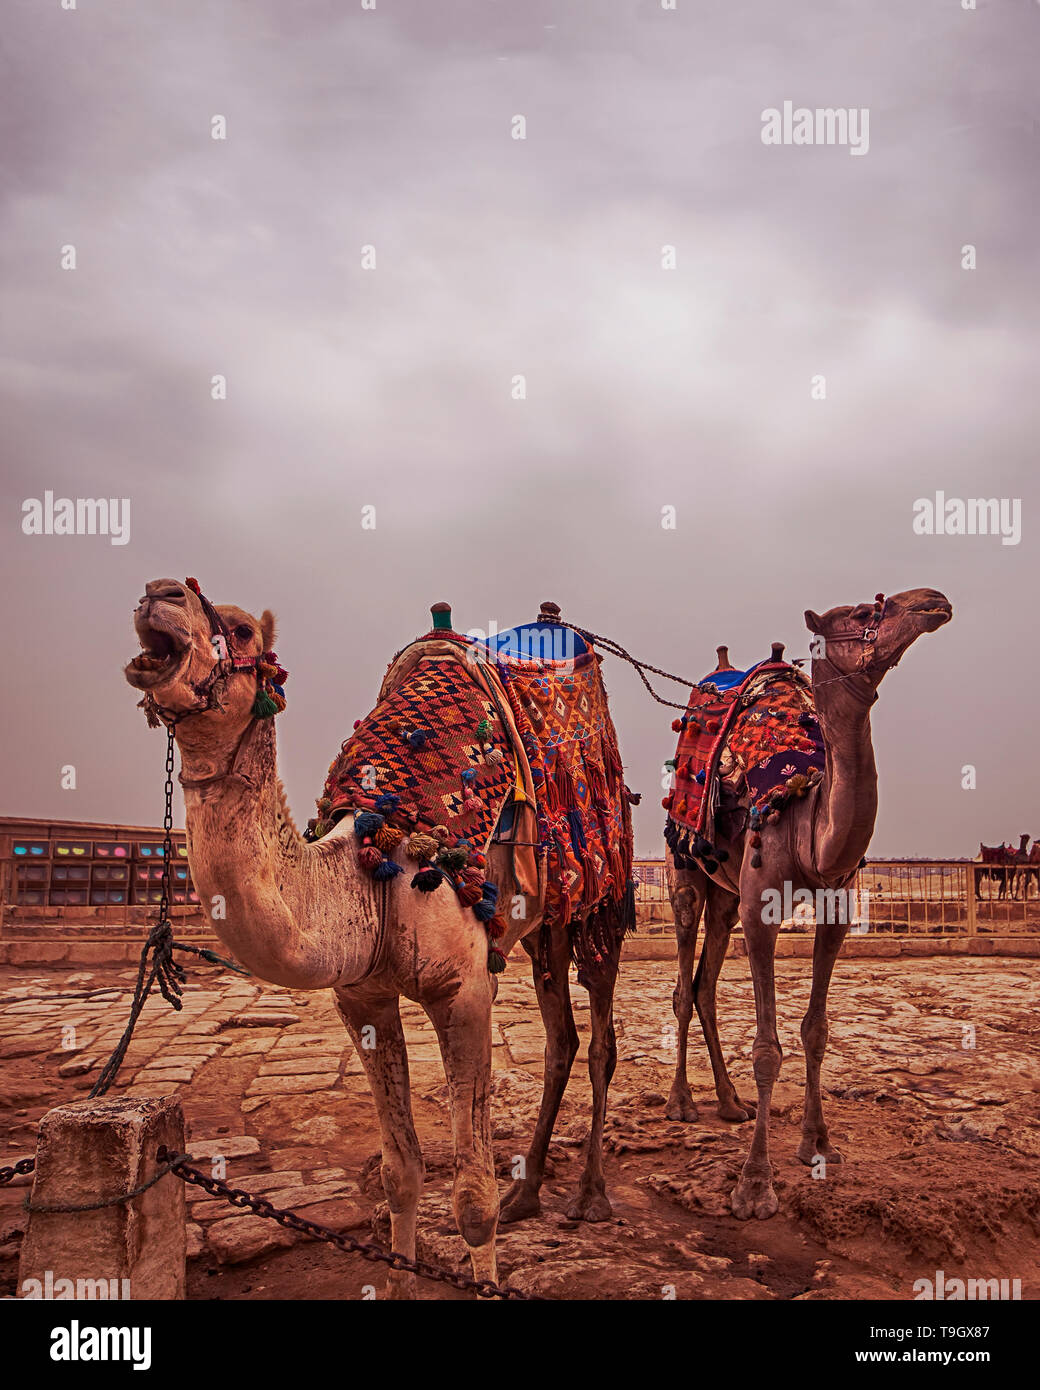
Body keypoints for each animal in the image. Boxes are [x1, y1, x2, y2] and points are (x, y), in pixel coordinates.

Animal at [124, 579, 628, 1297]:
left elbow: (471, 1198)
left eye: (244, 630)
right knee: (561, 1035)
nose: (157, 593)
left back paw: (590, 1196)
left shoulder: (463, 993)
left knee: (601, 1038)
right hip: (545, 922)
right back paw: (528, 1193)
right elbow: (400, 1172)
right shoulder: (361, 995)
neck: (375, 871)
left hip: (600, 894)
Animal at [665, 587, 952, 1219]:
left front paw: (818, 1145)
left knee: (705, 983)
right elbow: (767, 1049)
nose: (934, 601)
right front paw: (753, 1186)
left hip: (726, 893)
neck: (806, 822)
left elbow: (816, 1030)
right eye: (866, 612)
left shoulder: (836, 908)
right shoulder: (760, 911)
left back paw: (729, 1103)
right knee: (683, 981)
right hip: (686, 870)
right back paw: (681, 1103)